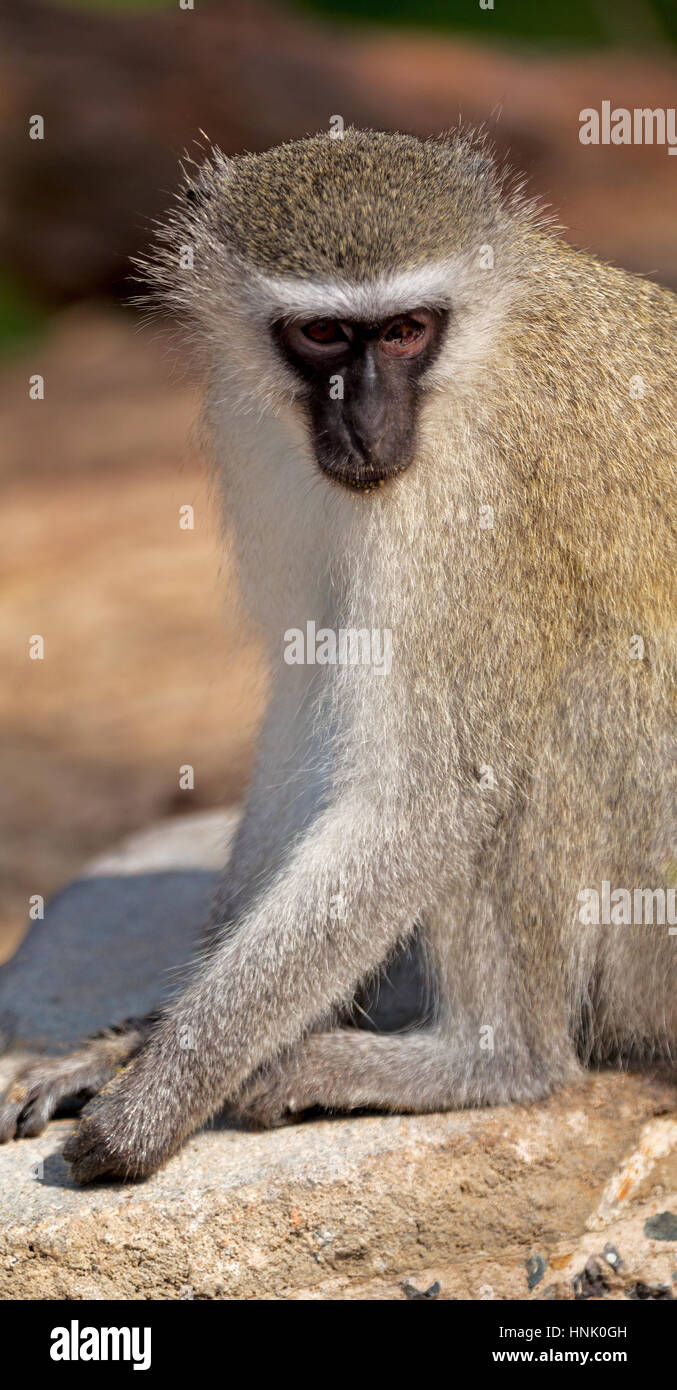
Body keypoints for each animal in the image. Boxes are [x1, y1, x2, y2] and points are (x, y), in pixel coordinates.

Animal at [0, 127, 675, 1182]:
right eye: (323, 335)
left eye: (403, 332)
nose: (363, 423)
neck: (471, 360)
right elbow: (306, 701)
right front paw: (137, 1043)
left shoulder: (469, 496)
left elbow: (432, 793)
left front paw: (157, 1099)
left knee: (541, 722)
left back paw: (487, 1061)